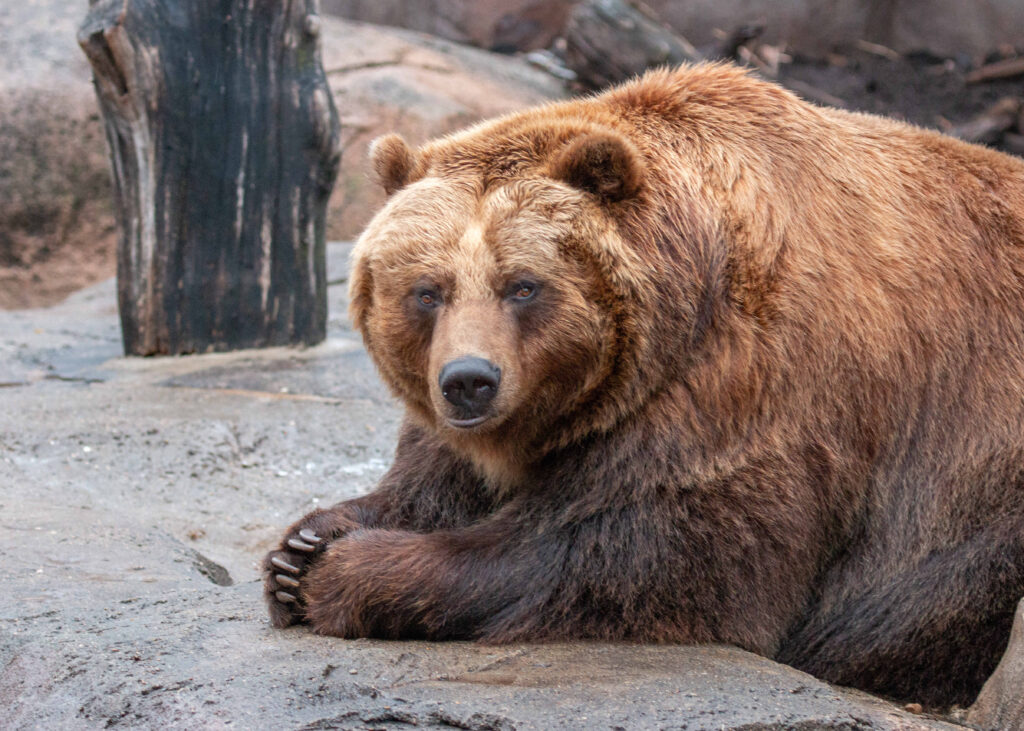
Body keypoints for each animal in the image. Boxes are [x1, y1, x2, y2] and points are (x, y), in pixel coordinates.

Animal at [263, 63, 1024, 709]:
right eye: (428, 290)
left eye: (522, 285)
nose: (469, 381)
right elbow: (435, 481)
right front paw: (302, 546)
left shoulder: (749, 387)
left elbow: (636, 550)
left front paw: (345, 573)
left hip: (980, 497)